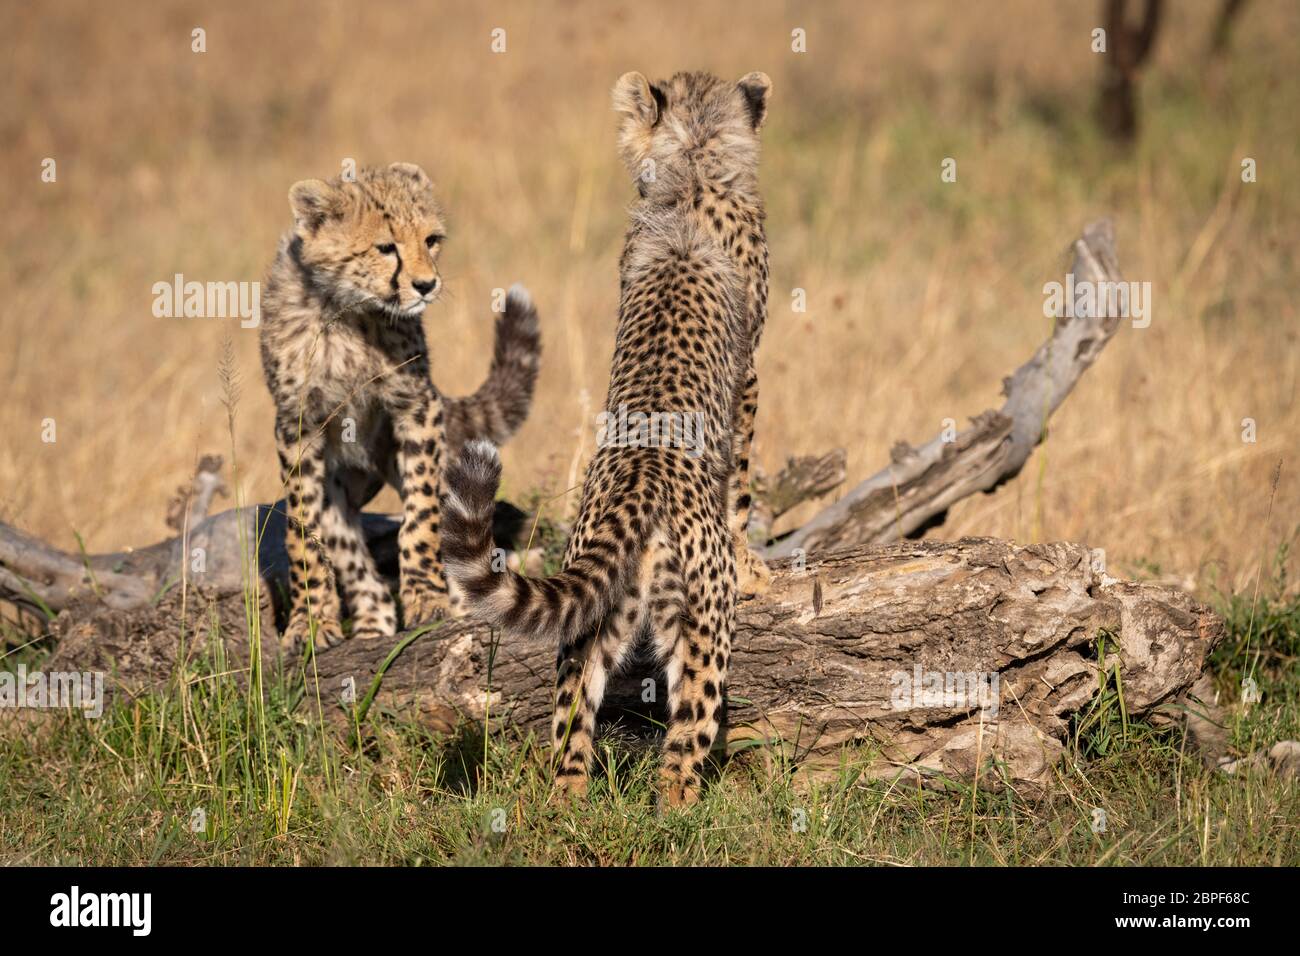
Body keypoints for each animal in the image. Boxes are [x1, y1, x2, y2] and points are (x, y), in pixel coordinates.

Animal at [259, 162, 541, 651]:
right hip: (341, 483)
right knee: (352, 556)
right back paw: (373, 624)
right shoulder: (297, 425)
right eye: (385, 247)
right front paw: (309, 623)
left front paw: (427, 600)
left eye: (431, 240)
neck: (348, 314)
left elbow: (421, 517)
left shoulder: (417, 406)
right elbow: (302, 531)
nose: (426, 285)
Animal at [442, 71, 772, 807]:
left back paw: (564, 807)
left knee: (570, 732)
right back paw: (684, 813)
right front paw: (757, 561)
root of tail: (641, 478)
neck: (693, 164)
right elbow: (741, 481)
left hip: (591, 624)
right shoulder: (748, 374)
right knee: (684, 743)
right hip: (703, 626)